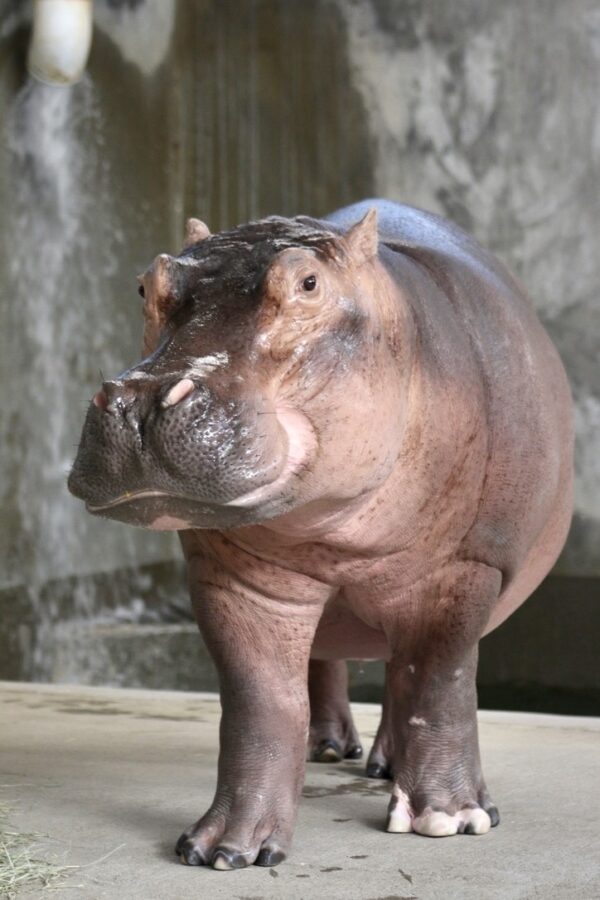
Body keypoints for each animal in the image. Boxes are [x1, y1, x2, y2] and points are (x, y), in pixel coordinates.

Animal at [68, 199, 573, 869]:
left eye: (309, 283)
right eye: (147, 284)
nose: (139, 406)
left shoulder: (467, 568)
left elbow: (438, 682)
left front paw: (450, 820)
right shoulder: (232, 576)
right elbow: (261, 700)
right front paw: (224, 849)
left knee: (404, 672)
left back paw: (388, 768)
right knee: (332, 662)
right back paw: (328, 750)